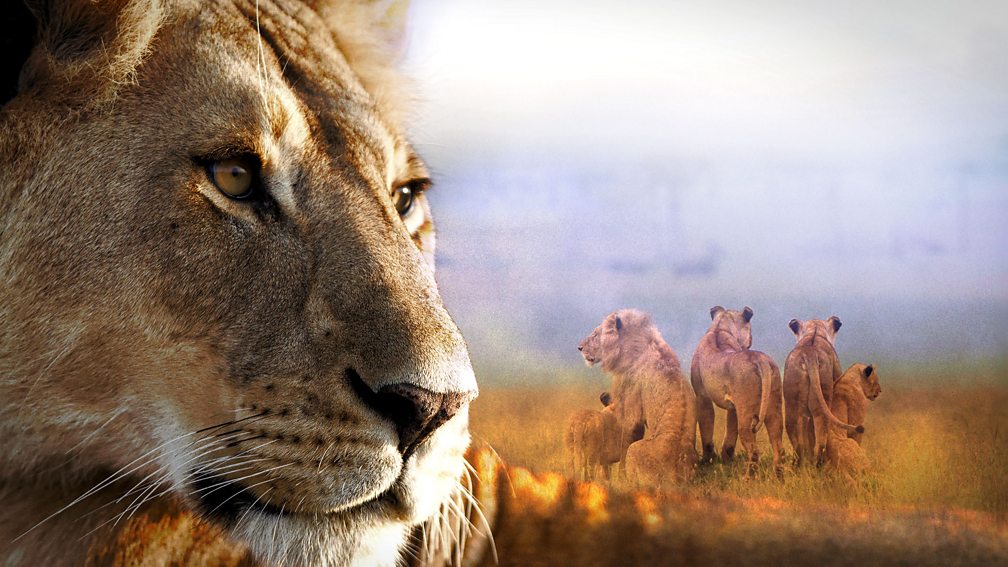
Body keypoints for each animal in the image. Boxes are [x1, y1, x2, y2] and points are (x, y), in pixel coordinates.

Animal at [578, 309, 696, 486]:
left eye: (596, 334)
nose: (579, 347)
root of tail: (676, 475)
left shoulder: (630, 409)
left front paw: (619, 481)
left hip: (635, 450)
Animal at [691, 306, 784, 477]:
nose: (752, 338)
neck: (719, 328)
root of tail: (760, 359)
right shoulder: (734, 407)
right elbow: (730, 436)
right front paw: (726, 460)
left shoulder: (702, 397)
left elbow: (707, 430)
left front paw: (708, 460)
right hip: (773, 408)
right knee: (778, 446)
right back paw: (778, 475)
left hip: (746, 414)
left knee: (754, 451)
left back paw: (747, 478)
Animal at [783, 317, 862, 467]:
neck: (814, 331)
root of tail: (810, 353)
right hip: (823, 396)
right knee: (820, 434)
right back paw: (819, 463)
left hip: (792, 405)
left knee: (797, 440)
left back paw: (799, 464)